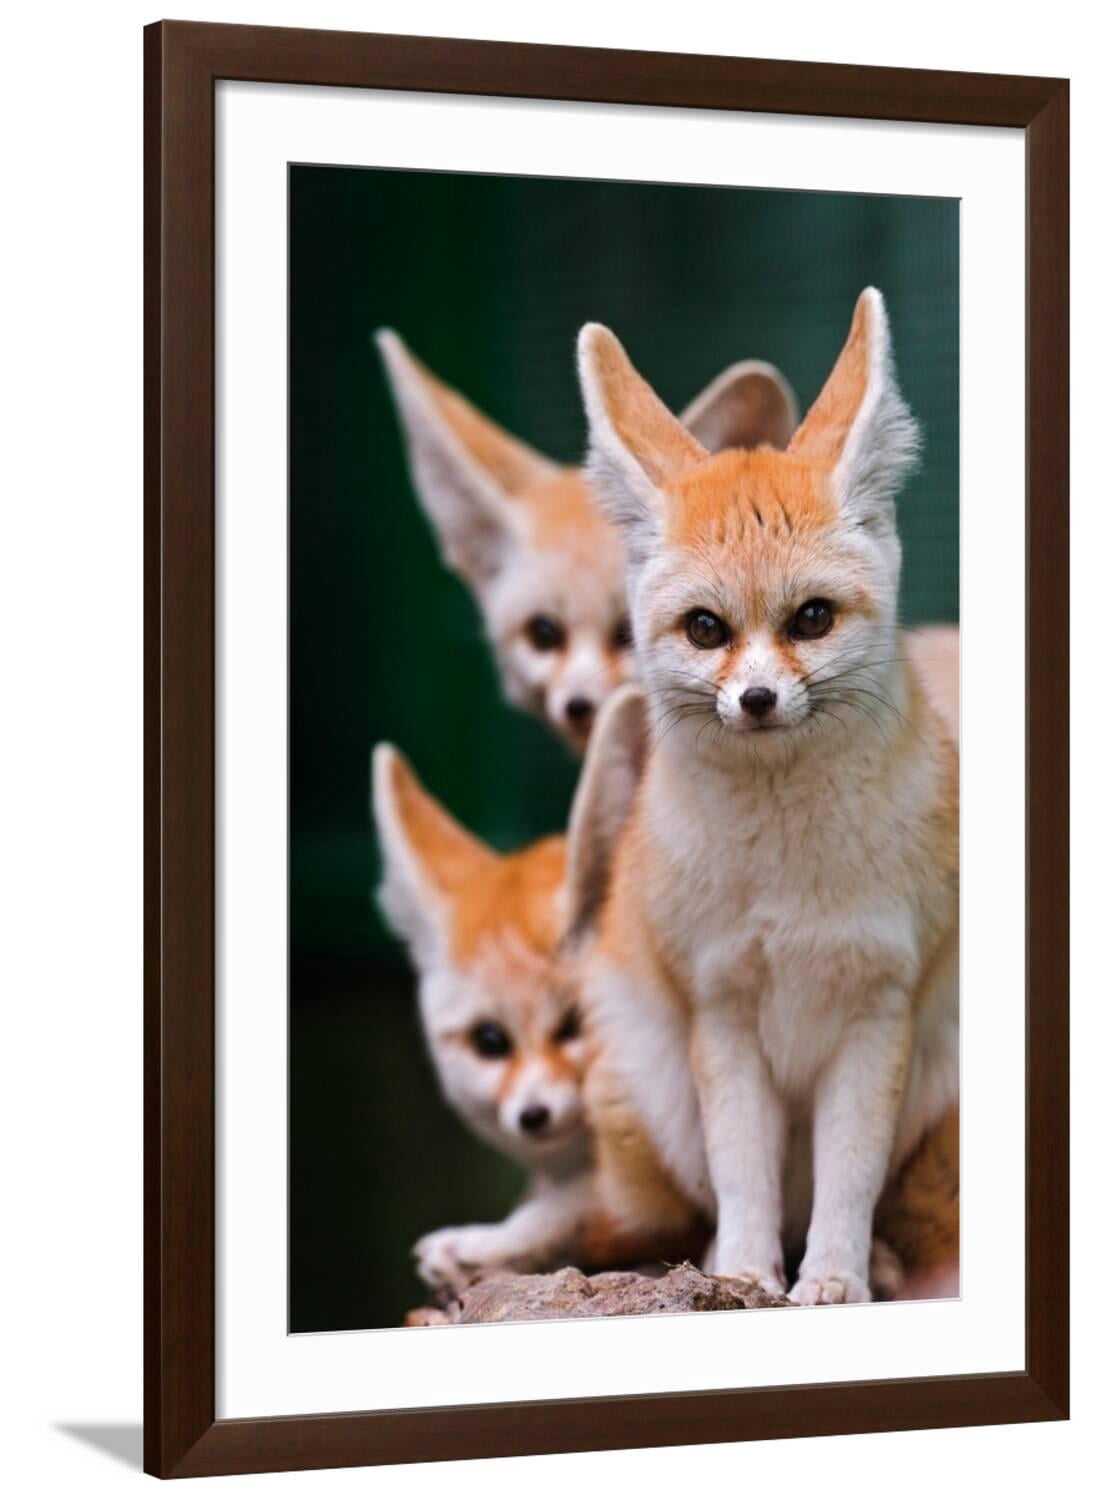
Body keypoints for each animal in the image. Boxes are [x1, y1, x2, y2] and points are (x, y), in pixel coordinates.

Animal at [573, 288, 960, 1305]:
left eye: (811, 619)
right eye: (707, 630)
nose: (754, 699)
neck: (789, 868)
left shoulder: (877, 1008)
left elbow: (849, 1175)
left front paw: (833, 1279)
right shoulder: (723, 1012)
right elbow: (743, 1171)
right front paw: (746, 1275)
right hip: (653, 1075)